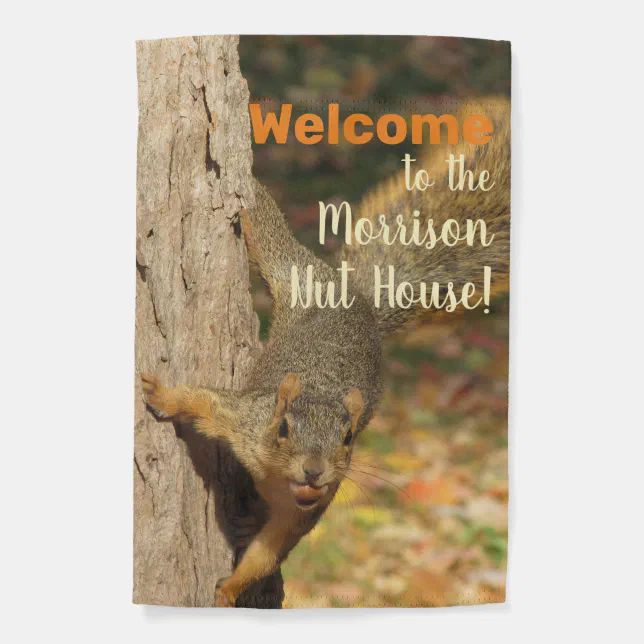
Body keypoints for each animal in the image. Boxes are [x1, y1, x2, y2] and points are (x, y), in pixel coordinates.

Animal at [141, 99, 510, 607]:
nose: (314, 472)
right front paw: (159, 394)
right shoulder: (243, 420)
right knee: (266, 228)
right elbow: (200, 400)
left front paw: (228, 591)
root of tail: (356, 300)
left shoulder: (310, 509)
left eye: (349, 437)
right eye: (283, 428)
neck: (278, 479)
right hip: (296, 271)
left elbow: (267, 553)